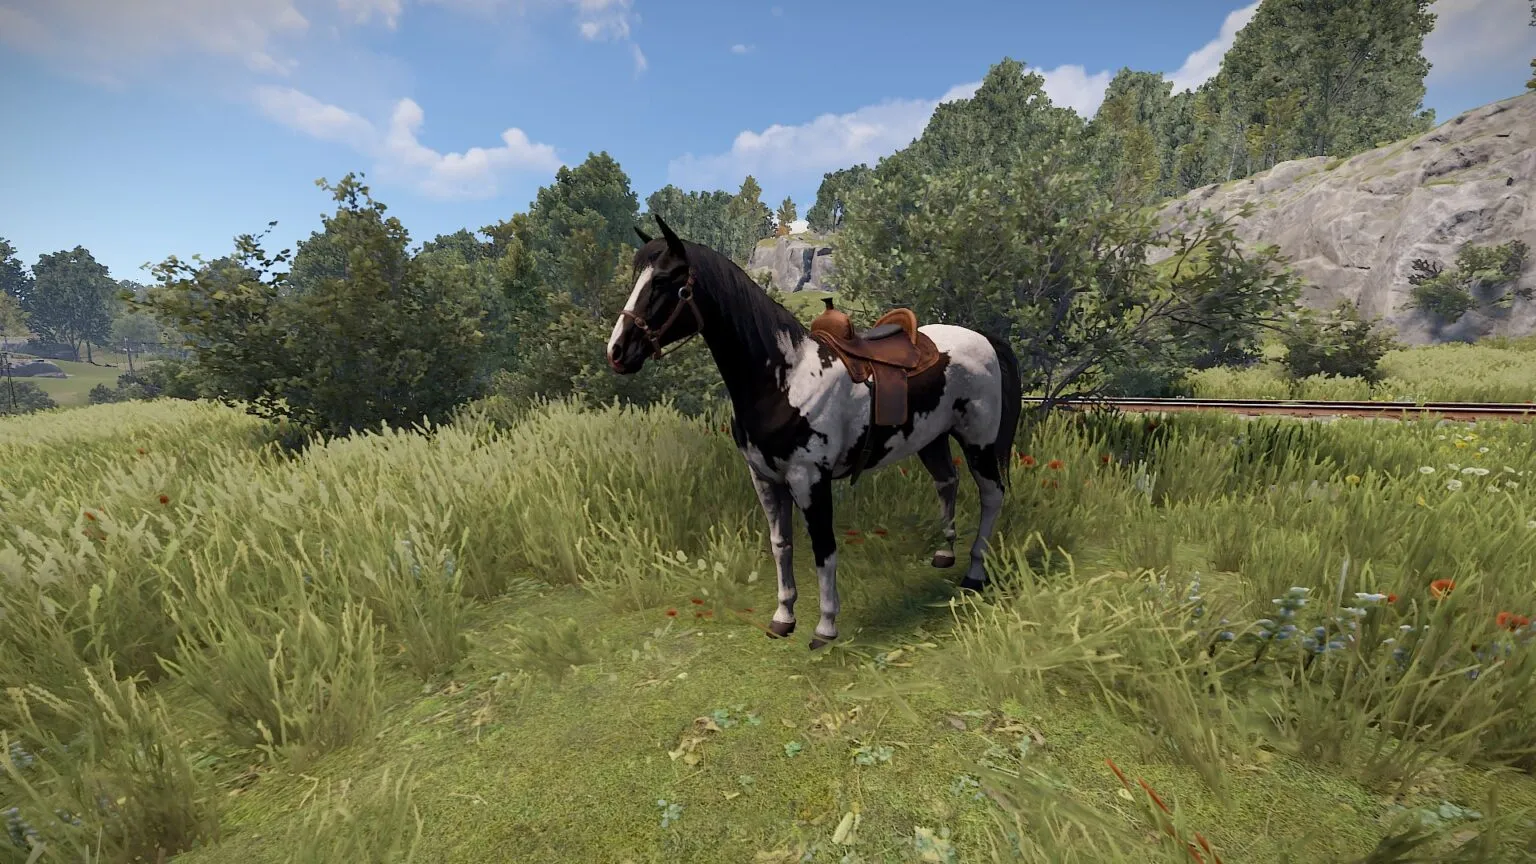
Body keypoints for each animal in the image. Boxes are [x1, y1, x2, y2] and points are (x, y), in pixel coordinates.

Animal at [606, 214, 1022, 649]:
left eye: (665, 281)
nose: (617, 352)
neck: (784, 380)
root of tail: (985, 340)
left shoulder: (810, 481)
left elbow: (823, 548)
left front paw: (825, 626)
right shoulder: (765, 479)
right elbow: (781, 545)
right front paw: (783, 617)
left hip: (980, 442)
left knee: (991, 495)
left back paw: (975, 572)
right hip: (931, 439)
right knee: (947, 481)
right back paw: (945, 554)